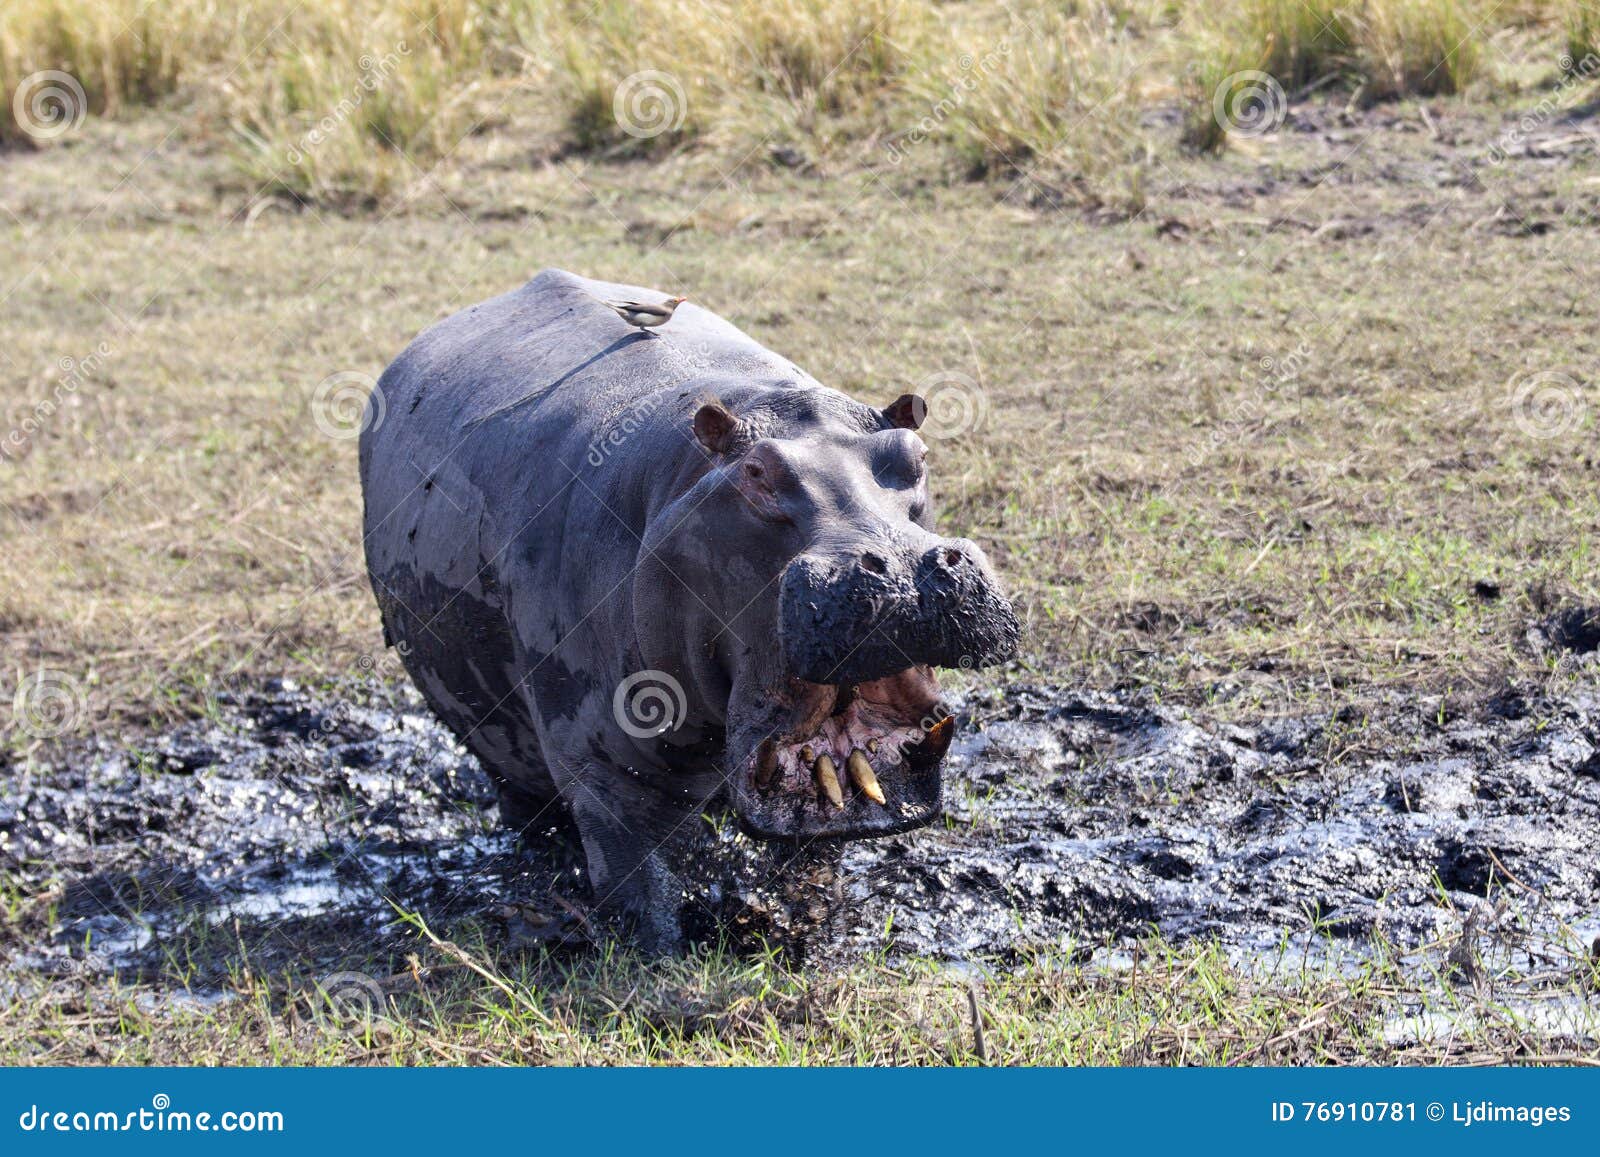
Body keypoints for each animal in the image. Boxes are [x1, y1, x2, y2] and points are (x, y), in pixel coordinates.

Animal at [359, 269, 1019, 947]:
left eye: (915, 455)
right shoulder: (602, 769)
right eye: (755, 471)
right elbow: (639, 884)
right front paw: (657, 956)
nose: (904, 566)